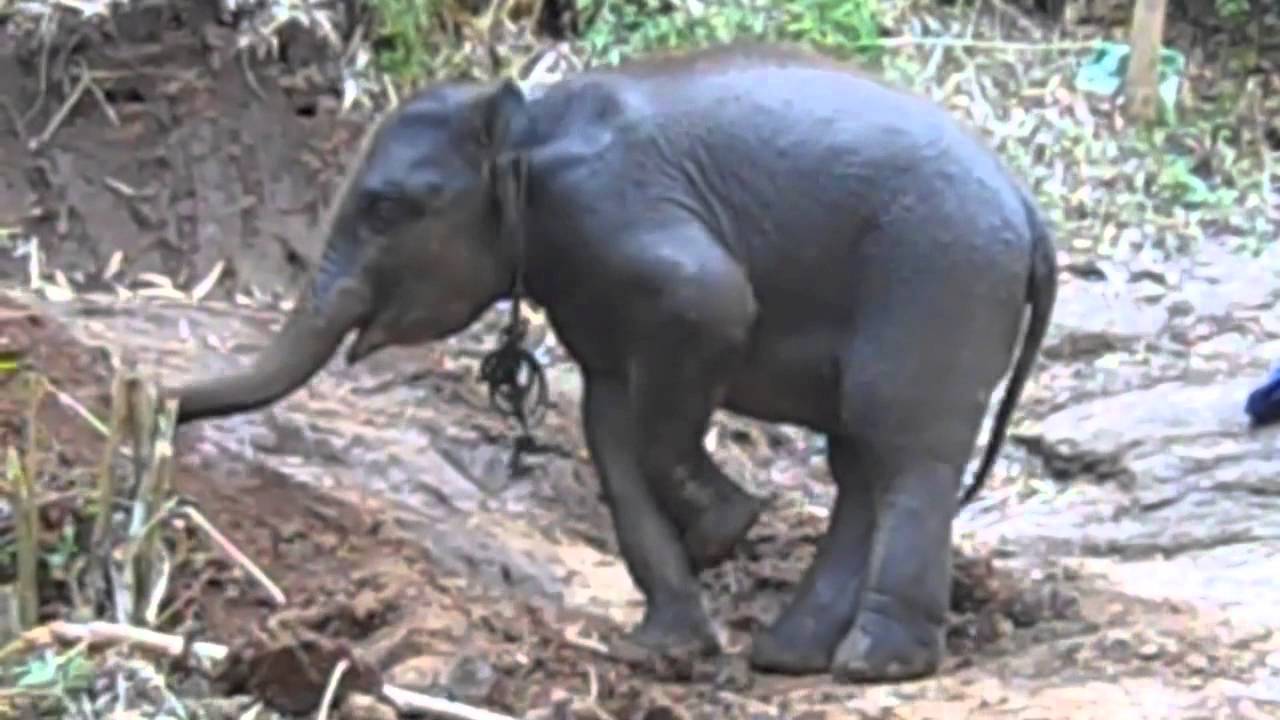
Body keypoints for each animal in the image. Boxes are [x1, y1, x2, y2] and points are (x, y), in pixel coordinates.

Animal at [168, 41, 1057, 682]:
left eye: (384, 209)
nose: (158, 408)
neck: (527, 123)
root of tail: (1027, 206)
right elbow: (609, 425)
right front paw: (662, 651)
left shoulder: (613, 213)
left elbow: (709, 304)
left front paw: (726, 532)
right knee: (860, 460)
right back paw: (791, 656)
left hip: (940, 277)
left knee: (899, 446)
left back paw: (875, 666)